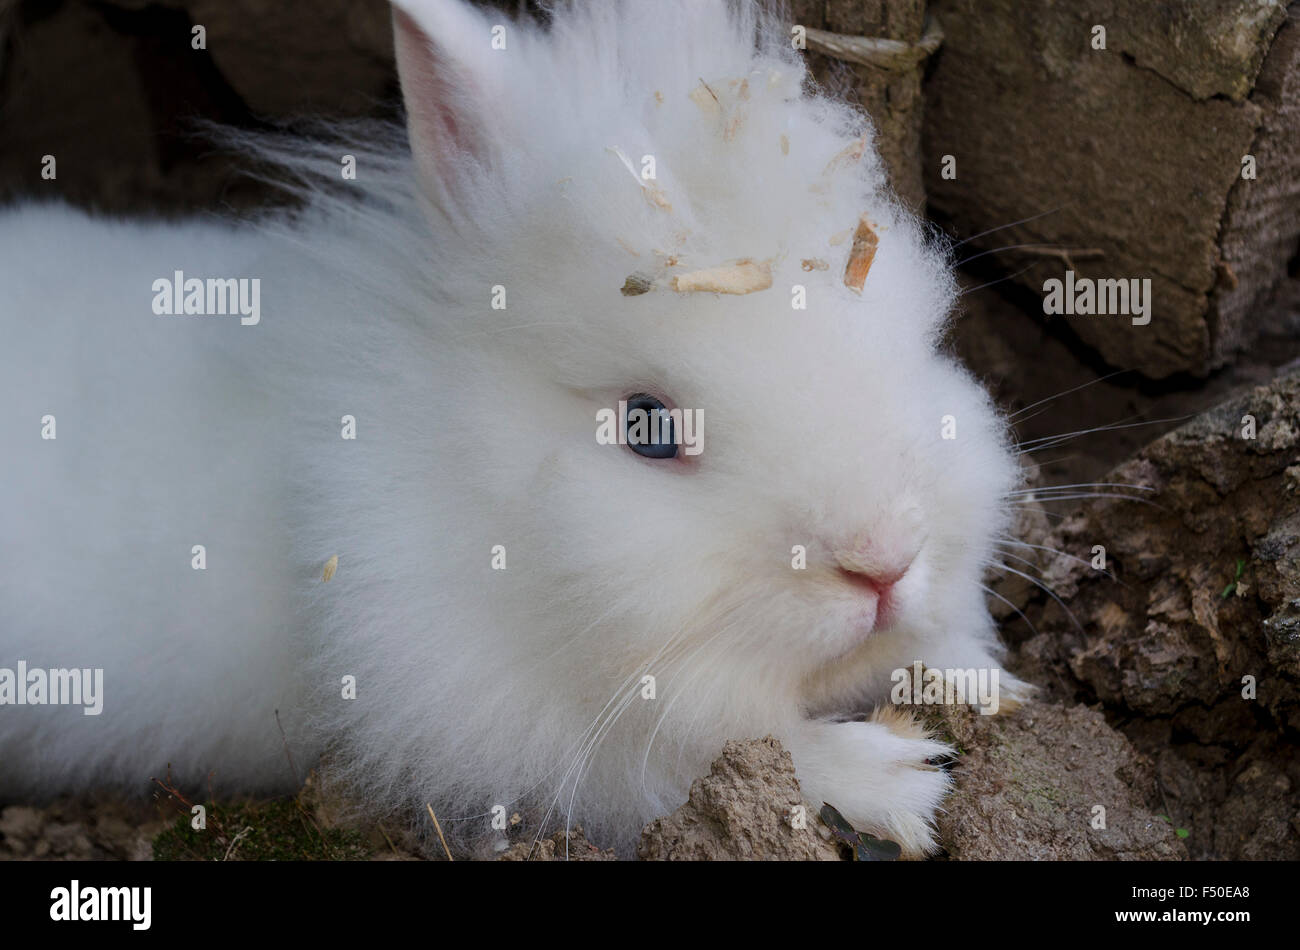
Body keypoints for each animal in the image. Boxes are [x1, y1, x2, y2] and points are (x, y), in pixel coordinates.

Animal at [0, 0, 1027, 858]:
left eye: (916, 339)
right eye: (649, 428)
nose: (885, 561)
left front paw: (983, 682)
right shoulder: (526, 729)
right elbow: (714, 758)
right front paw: (906, 785)